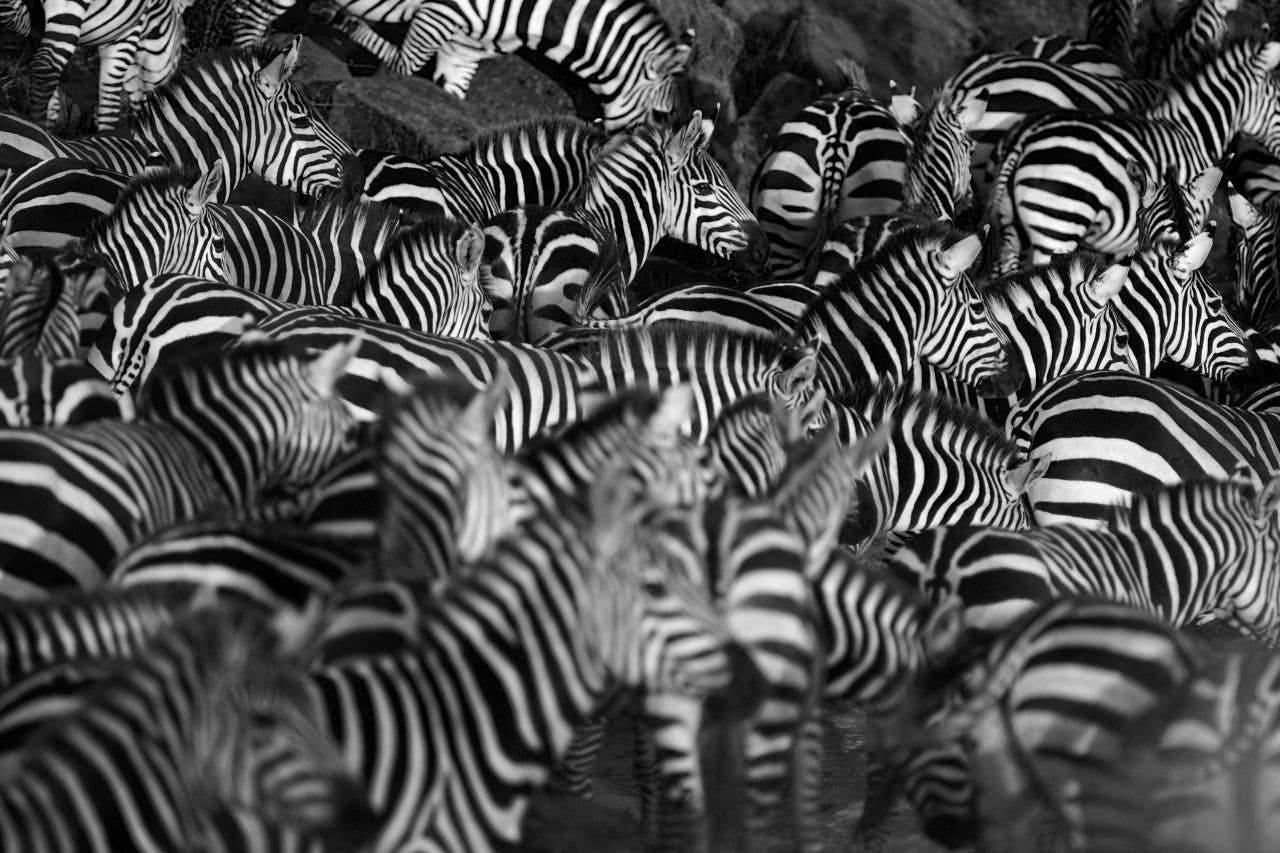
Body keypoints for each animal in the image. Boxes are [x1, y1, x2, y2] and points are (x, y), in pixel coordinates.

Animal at [24, 0, 186, 130]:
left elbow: (54, 102)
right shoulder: (127, 32)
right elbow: (110, 101)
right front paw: (107, 138)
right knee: (45, 65)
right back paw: (39, 128)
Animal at [308, 0, 692, 132]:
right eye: (661, 116)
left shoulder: (461, 50)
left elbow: (450, 100)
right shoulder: (438, 13)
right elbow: (404, 66)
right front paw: (340, 18)